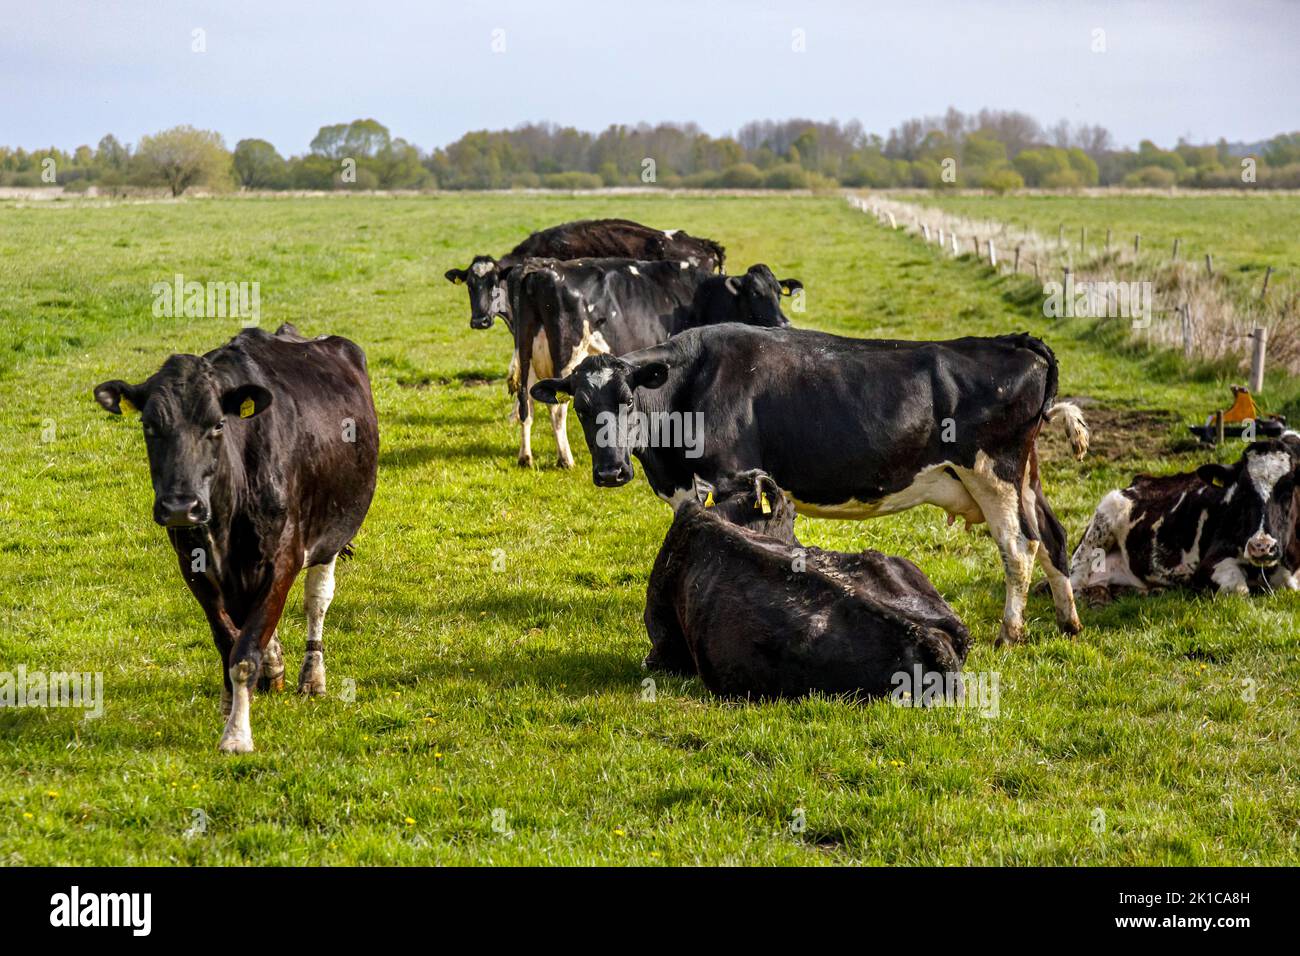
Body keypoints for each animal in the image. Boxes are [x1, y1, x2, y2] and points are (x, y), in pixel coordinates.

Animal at [93, 323, 379, 753]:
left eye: (217, 424)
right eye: (149, 426)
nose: (181, 506)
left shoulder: (284, 559)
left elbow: (244, 653)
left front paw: (237, 735)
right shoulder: (192, 563)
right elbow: (228, 640)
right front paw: (232, 703)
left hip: (332, 531)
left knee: (317, 601)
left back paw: (312, 676)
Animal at [509, 258, 799, 470]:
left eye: (778, 293)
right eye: (755, 292)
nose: (784, 323)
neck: (702, 296)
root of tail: (539, 269)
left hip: (527, 354)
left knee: (526, 404)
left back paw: (526, 456)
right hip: (567, 353)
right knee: (557, 409)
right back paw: (565, 459)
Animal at [532, 323, 1089, 646]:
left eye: (627, 399)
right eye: (582, 406)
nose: (610, 472)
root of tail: (1014, 341)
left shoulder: (733, 476)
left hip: (992, 472)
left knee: (1019, 548)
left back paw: (1010, 632)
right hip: (1023, 476)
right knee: (1052, 538)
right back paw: (1068, 621)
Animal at [1068, 436, 1300, 600]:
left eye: (1289, 489)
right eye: (1242, 491)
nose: (1261, 547)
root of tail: (1140, 480)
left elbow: (1289, 586)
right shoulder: (1209, 564)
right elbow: (1239, 590)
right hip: (1101, 525)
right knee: (1075, 580)